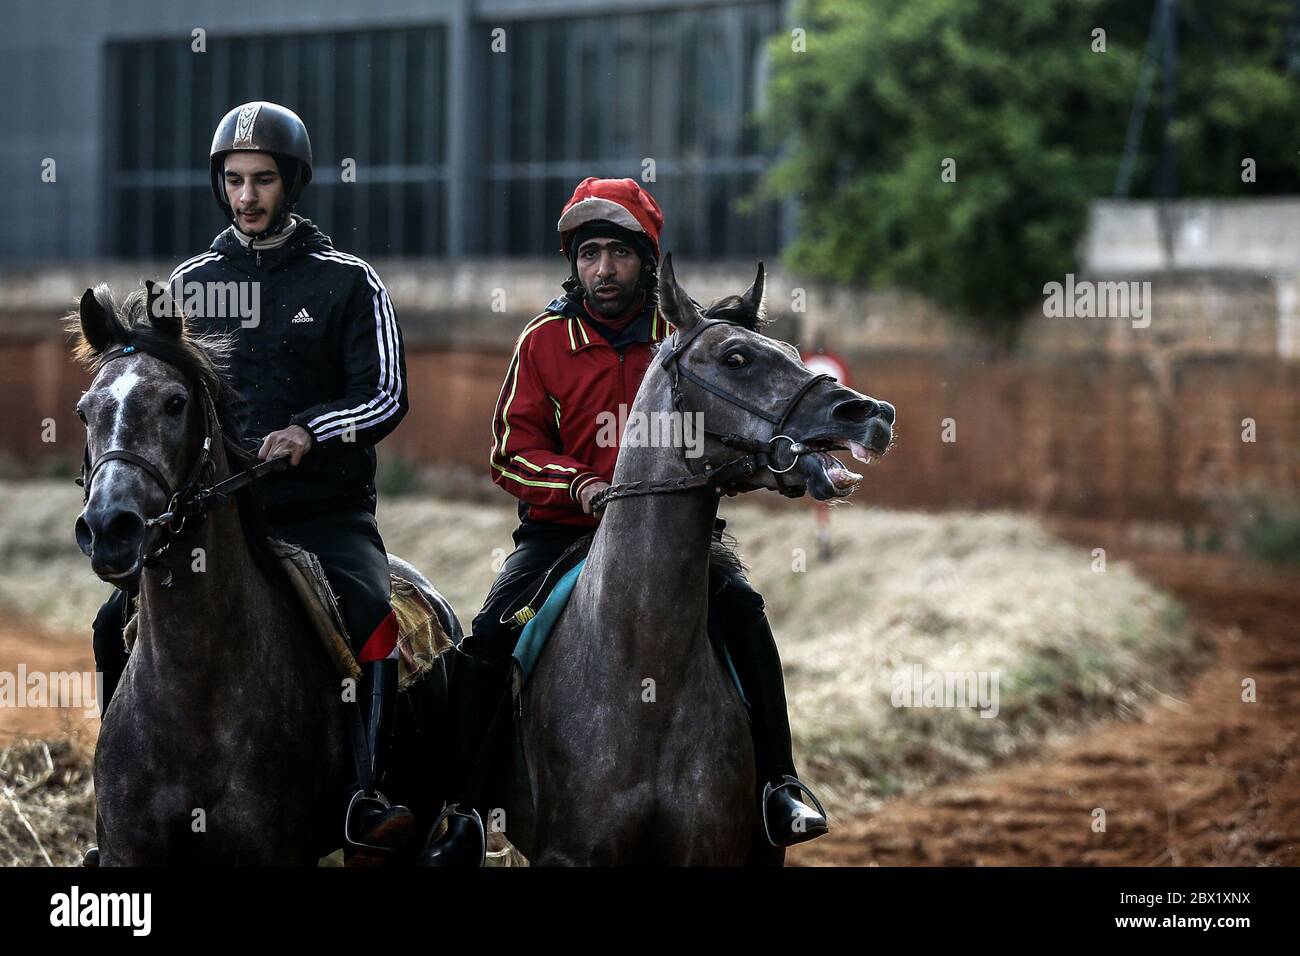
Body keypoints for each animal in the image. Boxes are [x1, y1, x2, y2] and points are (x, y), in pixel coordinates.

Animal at [497, 255, 895, 865]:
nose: (871, 413)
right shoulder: (571, 852)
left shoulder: (711, 848)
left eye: (793, 353)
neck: (645, 673)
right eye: (736, 358)